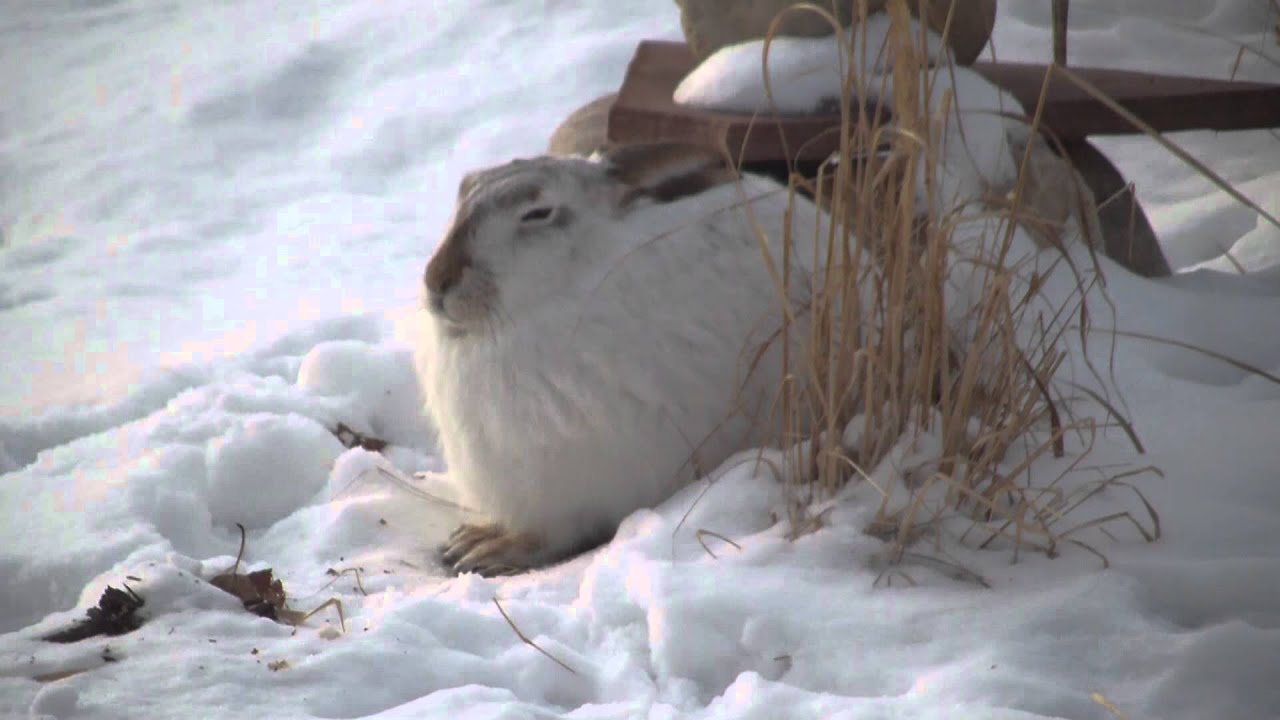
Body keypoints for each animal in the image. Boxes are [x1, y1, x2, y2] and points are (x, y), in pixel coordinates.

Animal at [416, 142, 830, 576]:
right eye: (464, 190)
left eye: (538, 213)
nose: (437, 280)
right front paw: (472, 540)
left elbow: (553, 533)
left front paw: (486, 550)